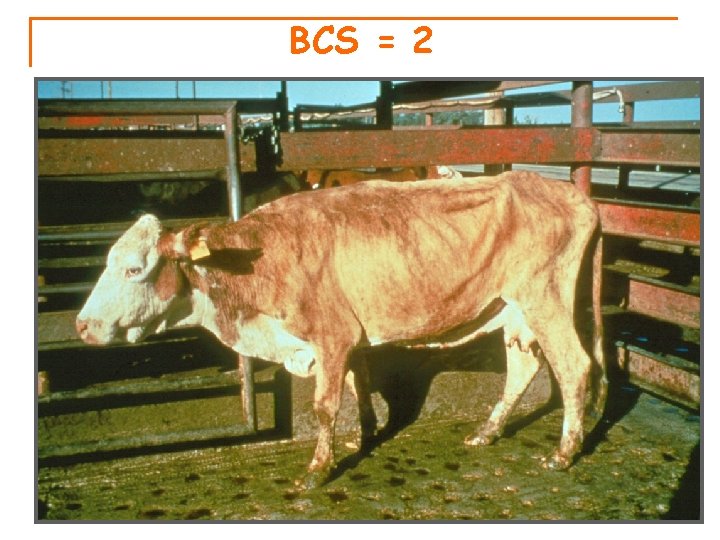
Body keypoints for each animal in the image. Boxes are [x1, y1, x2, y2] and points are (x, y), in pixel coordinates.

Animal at [76, 171, 606, 488]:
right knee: (523, 366)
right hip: (512, 308)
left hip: (545, 299)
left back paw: (564, 453)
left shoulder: (331, 337)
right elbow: (359, 385)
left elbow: (325, 405)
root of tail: (569, 191)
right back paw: (487, 432)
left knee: (574, 367)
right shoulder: (350, 339)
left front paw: (317, 468)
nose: (82, 325)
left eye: (134, 269)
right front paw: (364, 438)